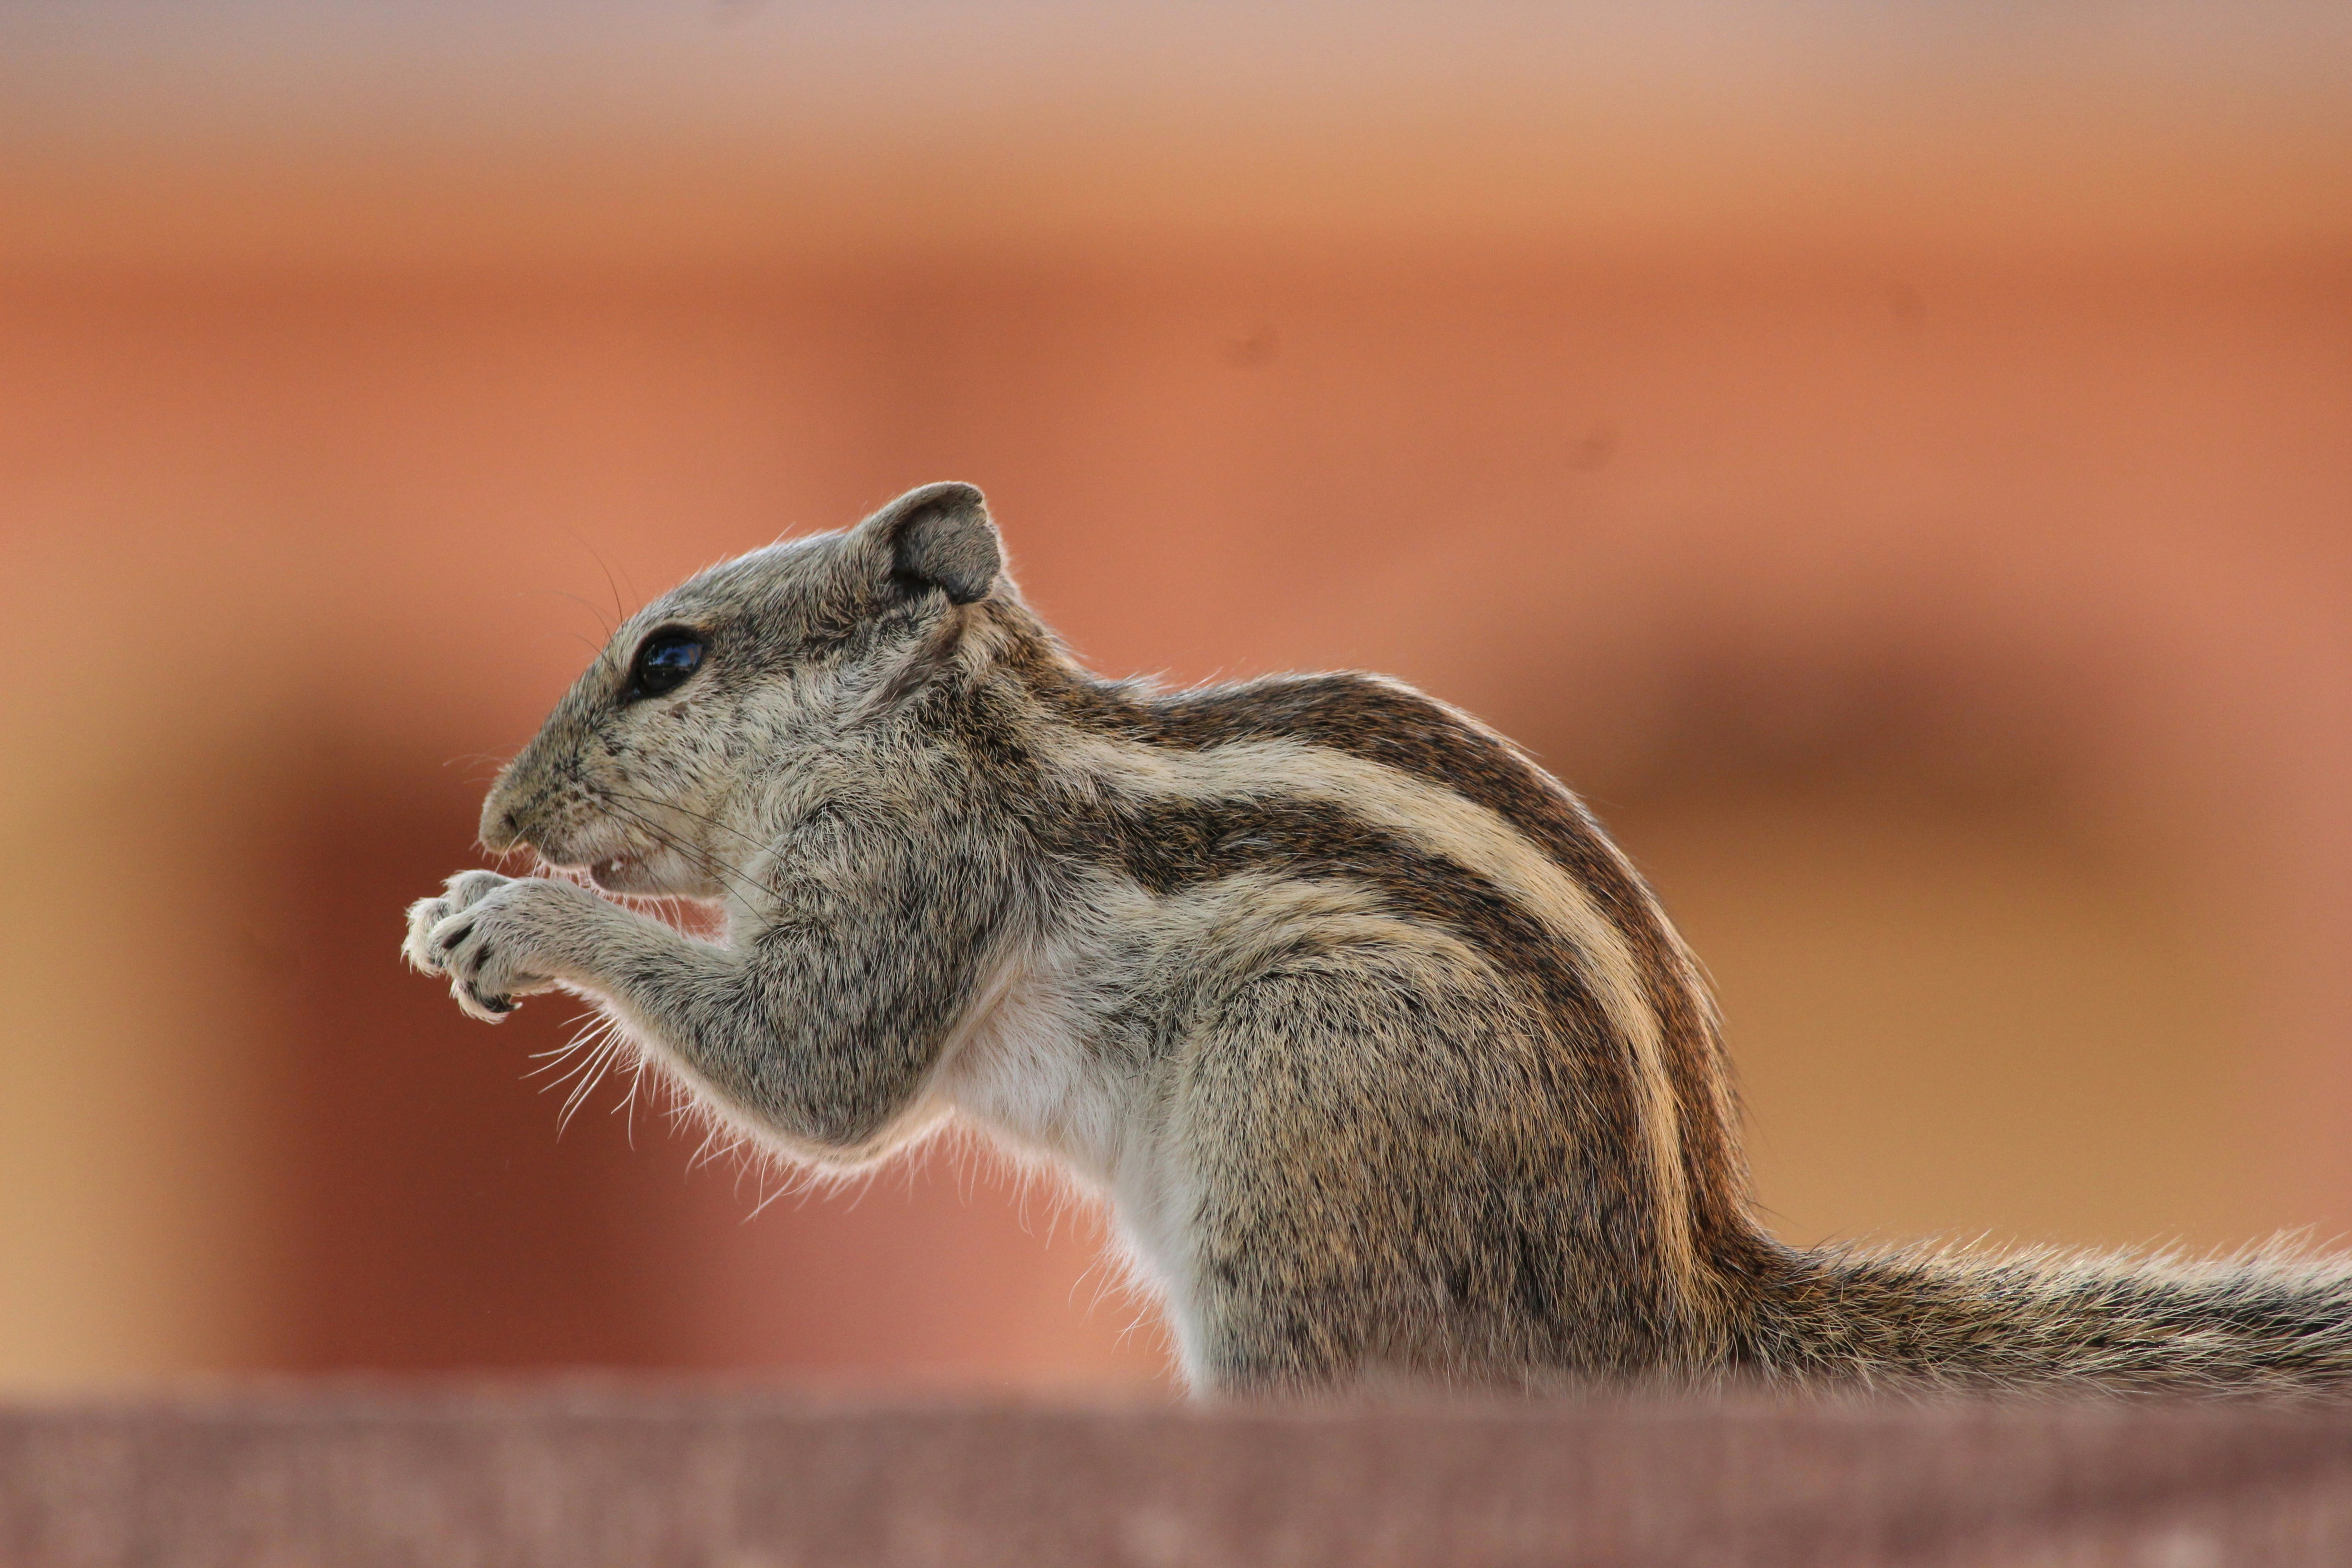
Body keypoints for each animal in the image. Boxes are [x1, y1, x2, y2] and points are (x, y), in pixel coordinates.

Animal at [405, 481, 2352, 1398]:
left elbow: (816, 1069)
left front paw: (526, 915)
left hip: (1301, 1119)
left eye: (670, 658)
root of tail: (1669, 1306)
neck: (941, 721)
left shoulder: (903, 868)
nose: (497, 811)